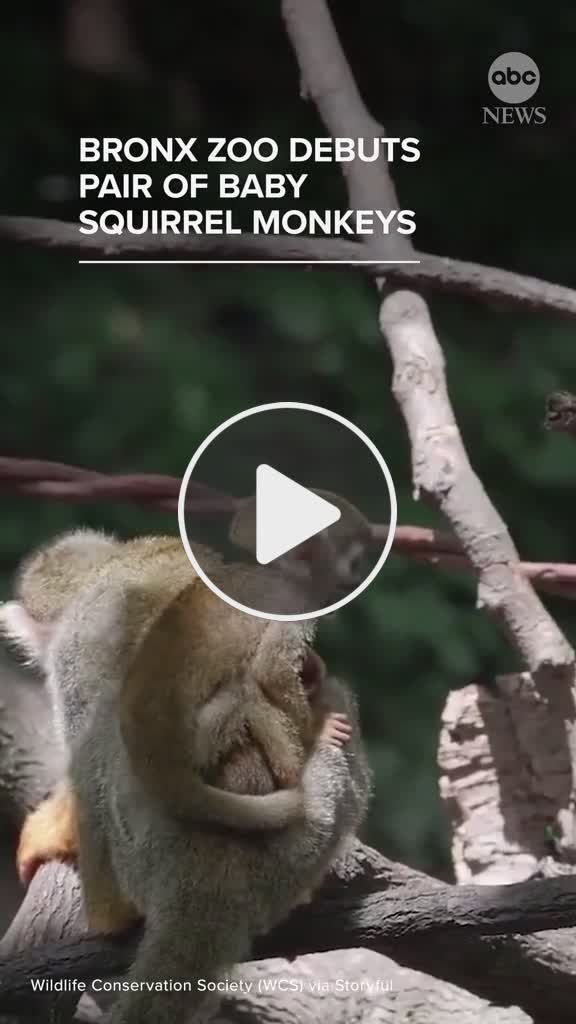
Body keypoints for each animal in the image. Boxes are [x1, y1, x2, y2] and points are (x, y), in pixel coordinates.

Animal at [1, 530, 371, 1024]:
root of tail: (212, 885)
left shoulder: (74, 650)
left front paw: (52, 829)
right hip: (306, 833)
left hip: (143, 849)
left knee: (102, 737)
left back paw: (107, 913)